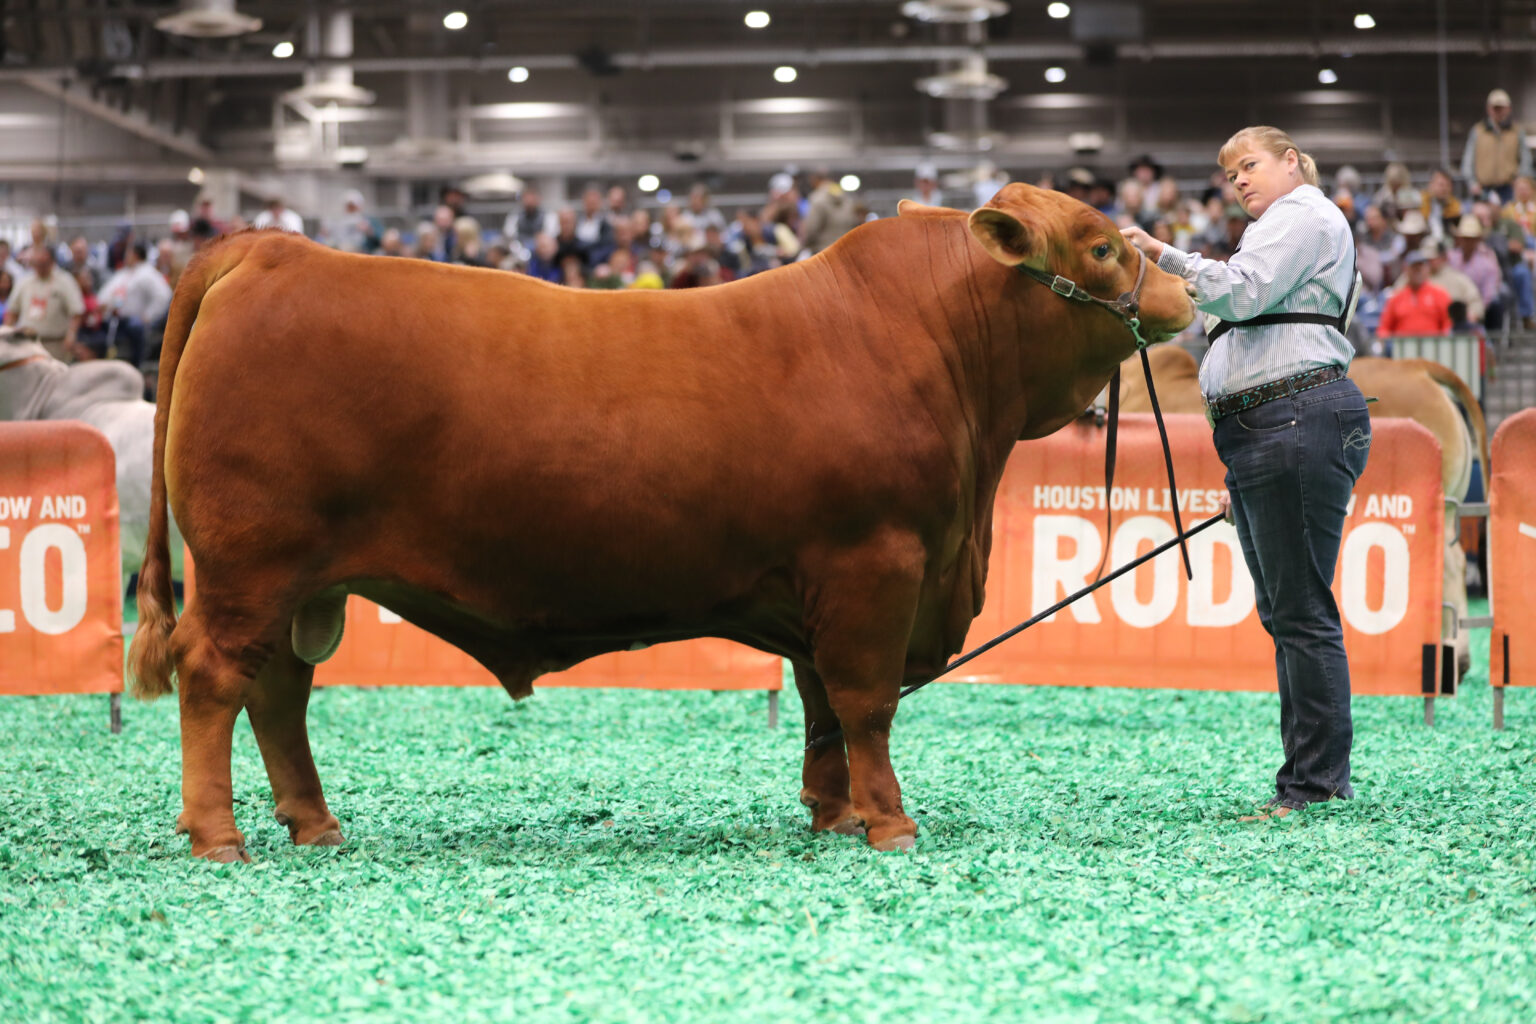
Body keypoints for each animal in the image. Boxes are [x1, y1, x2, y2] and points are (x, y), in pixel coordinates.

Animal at [127, 185, 1196, 862]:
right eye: (1104, 247)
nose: (1188, 288)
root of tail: (273, 247)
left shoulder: (820, 581)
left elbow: (820, 707)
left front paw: (832, 815)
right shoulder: (877, 564)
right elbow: (866, 702)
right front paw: (891, 826)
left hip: (300, 584)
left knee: (280, 694)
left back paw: (314, 825)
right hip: (250, 568)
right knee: (215, 679)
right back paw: (220, 839)